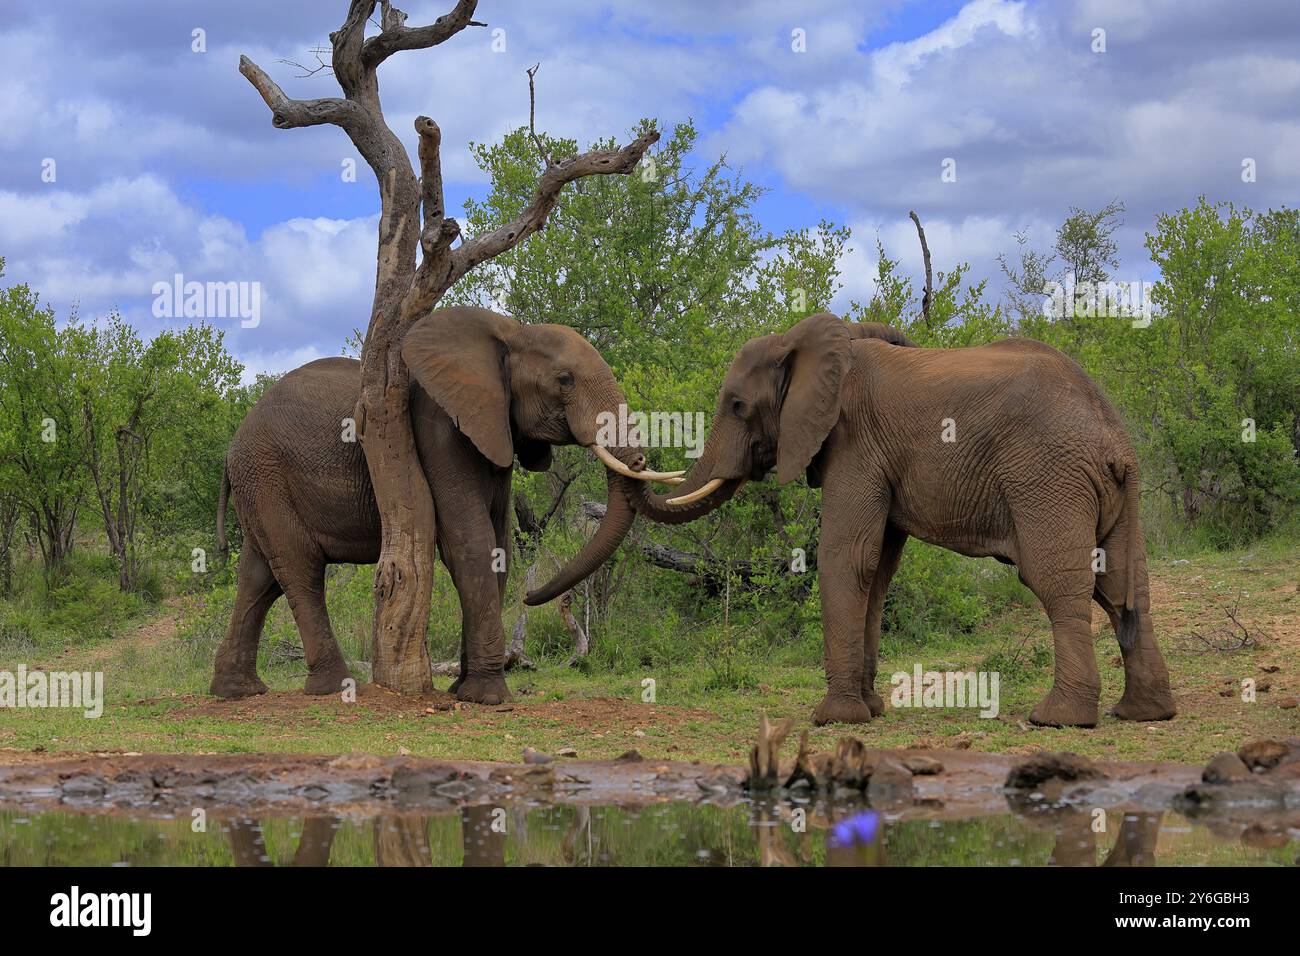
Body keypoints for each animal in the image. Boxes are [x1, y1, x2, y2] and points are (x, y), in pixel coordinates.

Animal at [211, 306, 678, 704]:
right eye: (565, 380)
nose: (533, 597)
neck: (509, 332)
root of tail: (232, 447)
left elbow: (498, 544)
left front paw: (462, 690)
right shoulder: (437, 426)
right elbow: (470, 540)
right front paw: (488, 698)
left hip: (260, 485)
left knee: (259, 577)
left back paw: (238, 691)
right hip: (267, 475)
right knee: (301, 570)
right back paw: (334, 686)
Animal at [619, 312, 1176, 727]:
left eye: (736, 405)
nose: (639, 458)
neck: (813, 344)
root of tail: (1114, 437)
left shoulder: (853, 443)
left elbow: (847, 558)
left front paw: (834, 718)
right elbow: (878, 570)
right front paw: (870, 710)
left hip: (1048, 477)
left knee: (1058, 582)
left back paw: (1058, 718)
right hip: (1108, 492)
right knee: (1124, 587)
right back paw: (1143, 713)